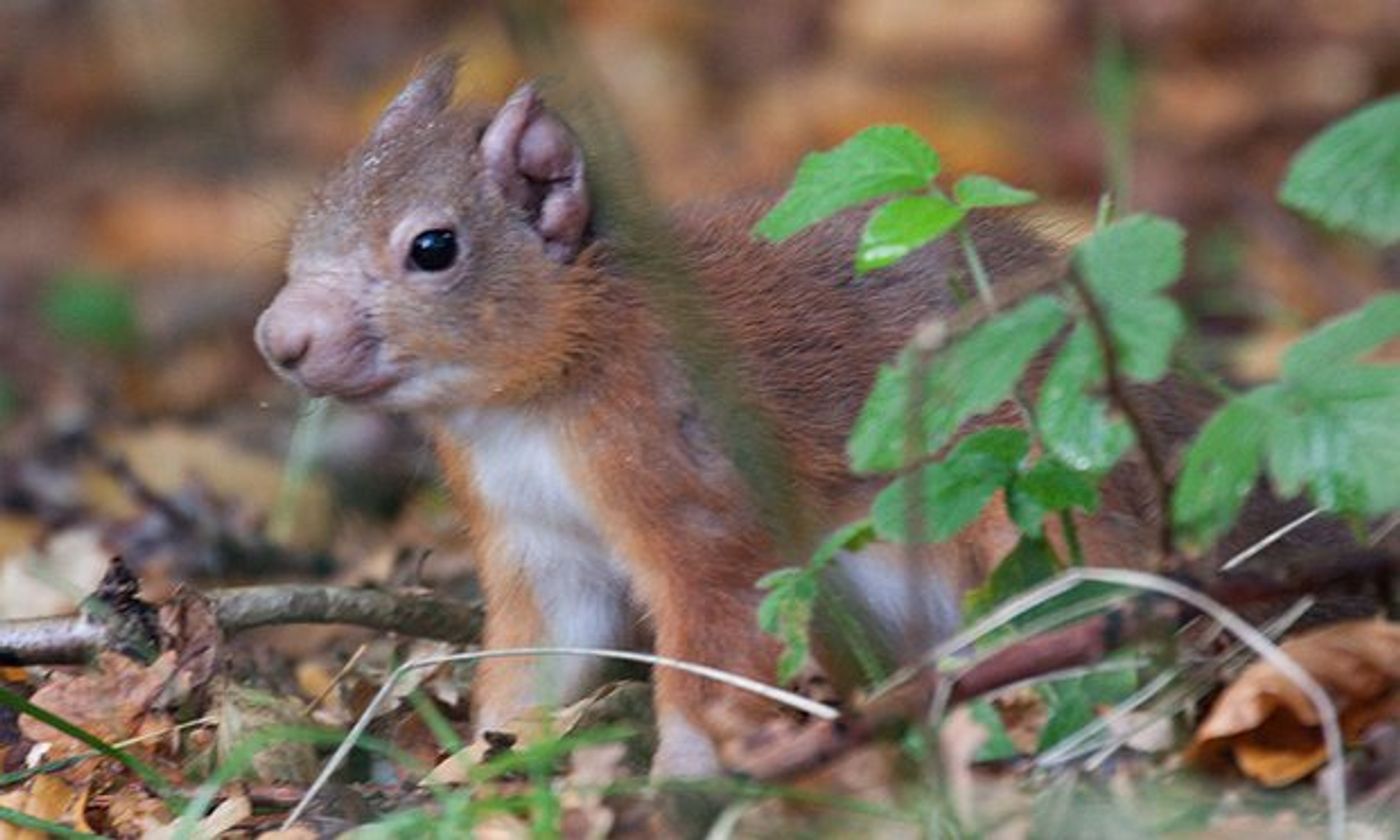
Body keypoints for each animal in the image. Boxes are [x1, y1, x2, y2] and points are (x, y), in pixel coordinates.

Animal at [254, 57, 1271, 772]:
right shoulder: (537, 547)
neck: (526, 407)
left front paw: (685, 773)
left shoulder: (700, 501)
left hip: (1037, 514)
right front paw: (473, 772)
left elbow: (710, 654)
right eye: (307, 220)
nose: (280, 339)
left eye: (434, 248)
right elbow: (528, 670)